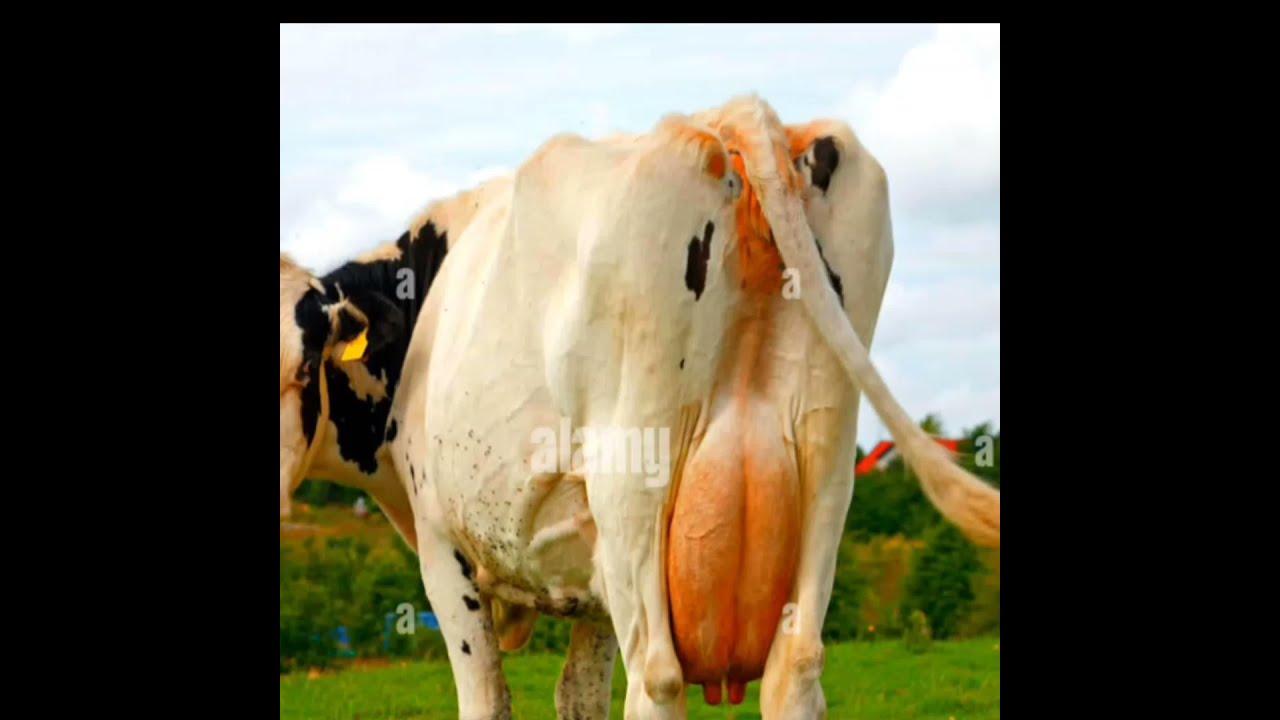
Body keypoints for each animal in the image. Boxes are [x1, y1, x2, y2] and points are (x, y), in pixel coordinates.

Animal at [355, 94, 1000, 720]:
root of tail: (730, 119)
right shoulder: (590, 574)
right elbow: (578, 693)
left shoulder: (441, 543)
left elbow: (489, 697)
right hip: (825, 465)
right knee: (795, 669)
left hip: (632, 488)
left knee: (657, 679)